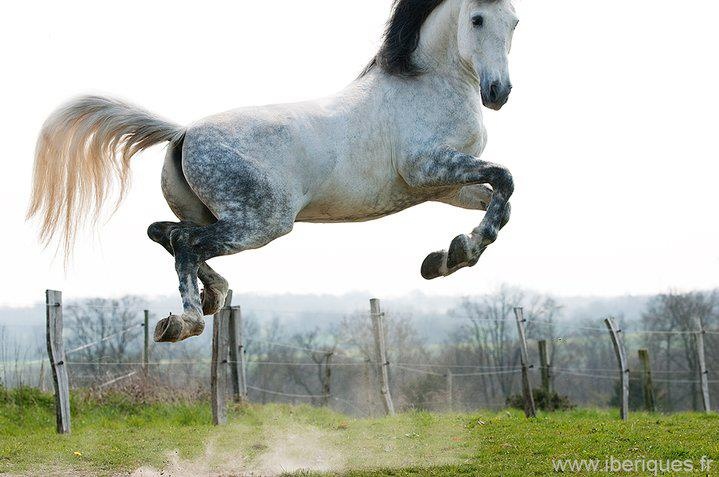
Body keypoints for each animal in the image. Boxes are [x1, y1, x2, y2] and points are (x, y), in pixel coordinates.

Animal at [28, 0, 520, 343]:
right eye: (477, 19)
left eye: (514, 21)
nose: (498, 92)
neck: (428, 82)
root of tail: (183, 133)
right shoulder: (427, 168)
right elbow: (506, 179)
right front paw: (458, 253)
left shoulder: (442, 187)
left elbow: (502, 200)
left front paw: (447, 258)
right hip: (262, 222)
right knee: (185, 243)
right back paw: (185, 321)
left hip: (222, 217)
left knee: (166, 233)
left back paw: (214, 295)